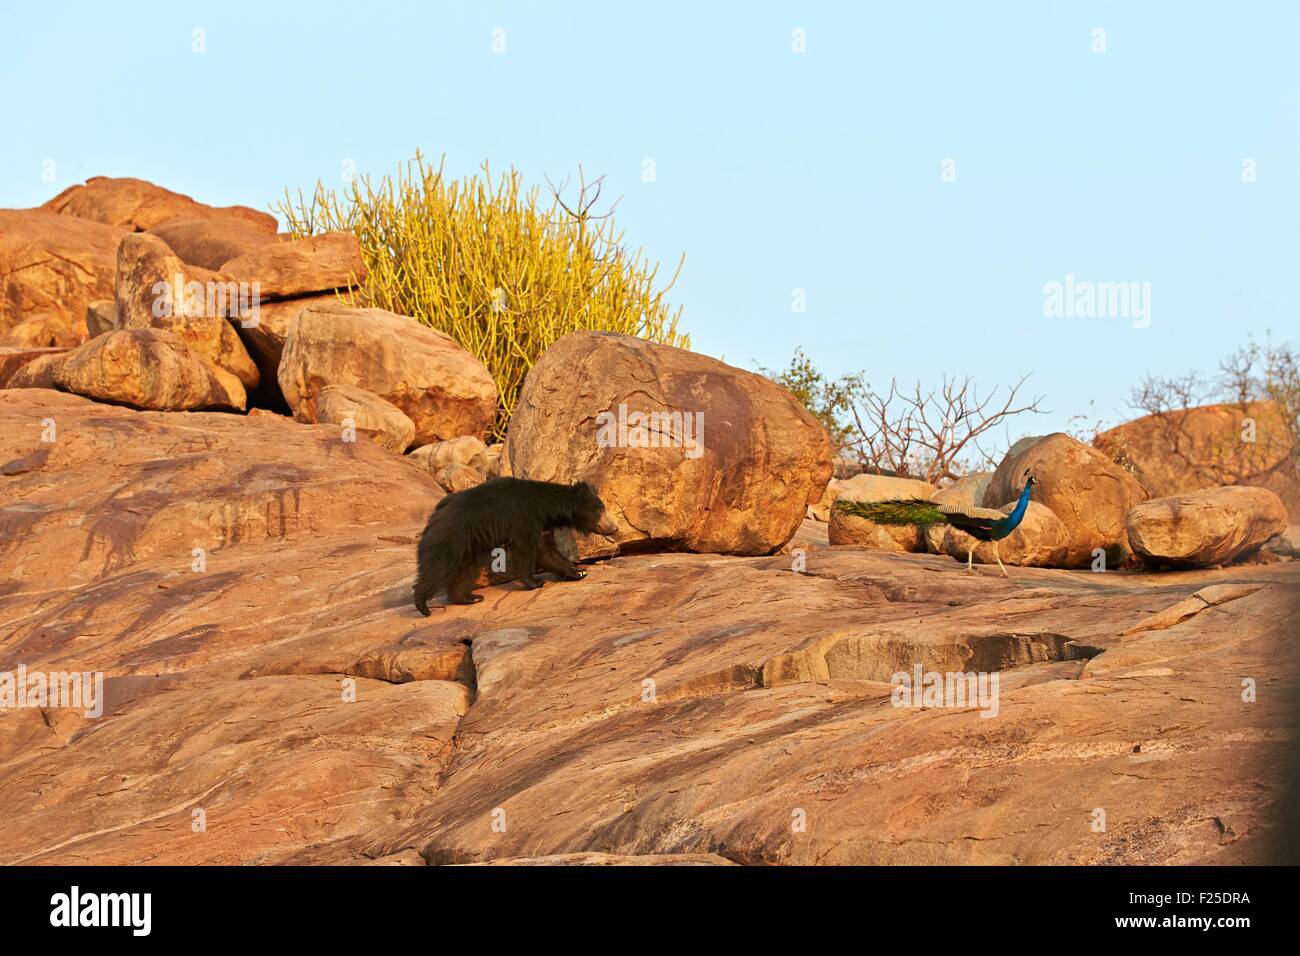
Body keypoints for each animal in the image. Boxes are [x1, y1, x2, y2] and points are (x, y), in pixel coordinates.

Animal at [413, 477, 618, 614]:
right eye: (599, 510)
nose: (614, 528)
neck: (546, 509)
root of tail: (435, 514)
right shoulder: (522, 518)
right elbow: (525, 551)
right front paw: (535, 582)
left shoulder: (542, 527)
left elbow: (547, 552)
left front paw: (579, 572)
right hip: (451, 536)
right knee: (438, 566)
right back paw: (423, 605)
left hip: (468, 545)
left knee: (466, 570)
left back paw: (469, 597)